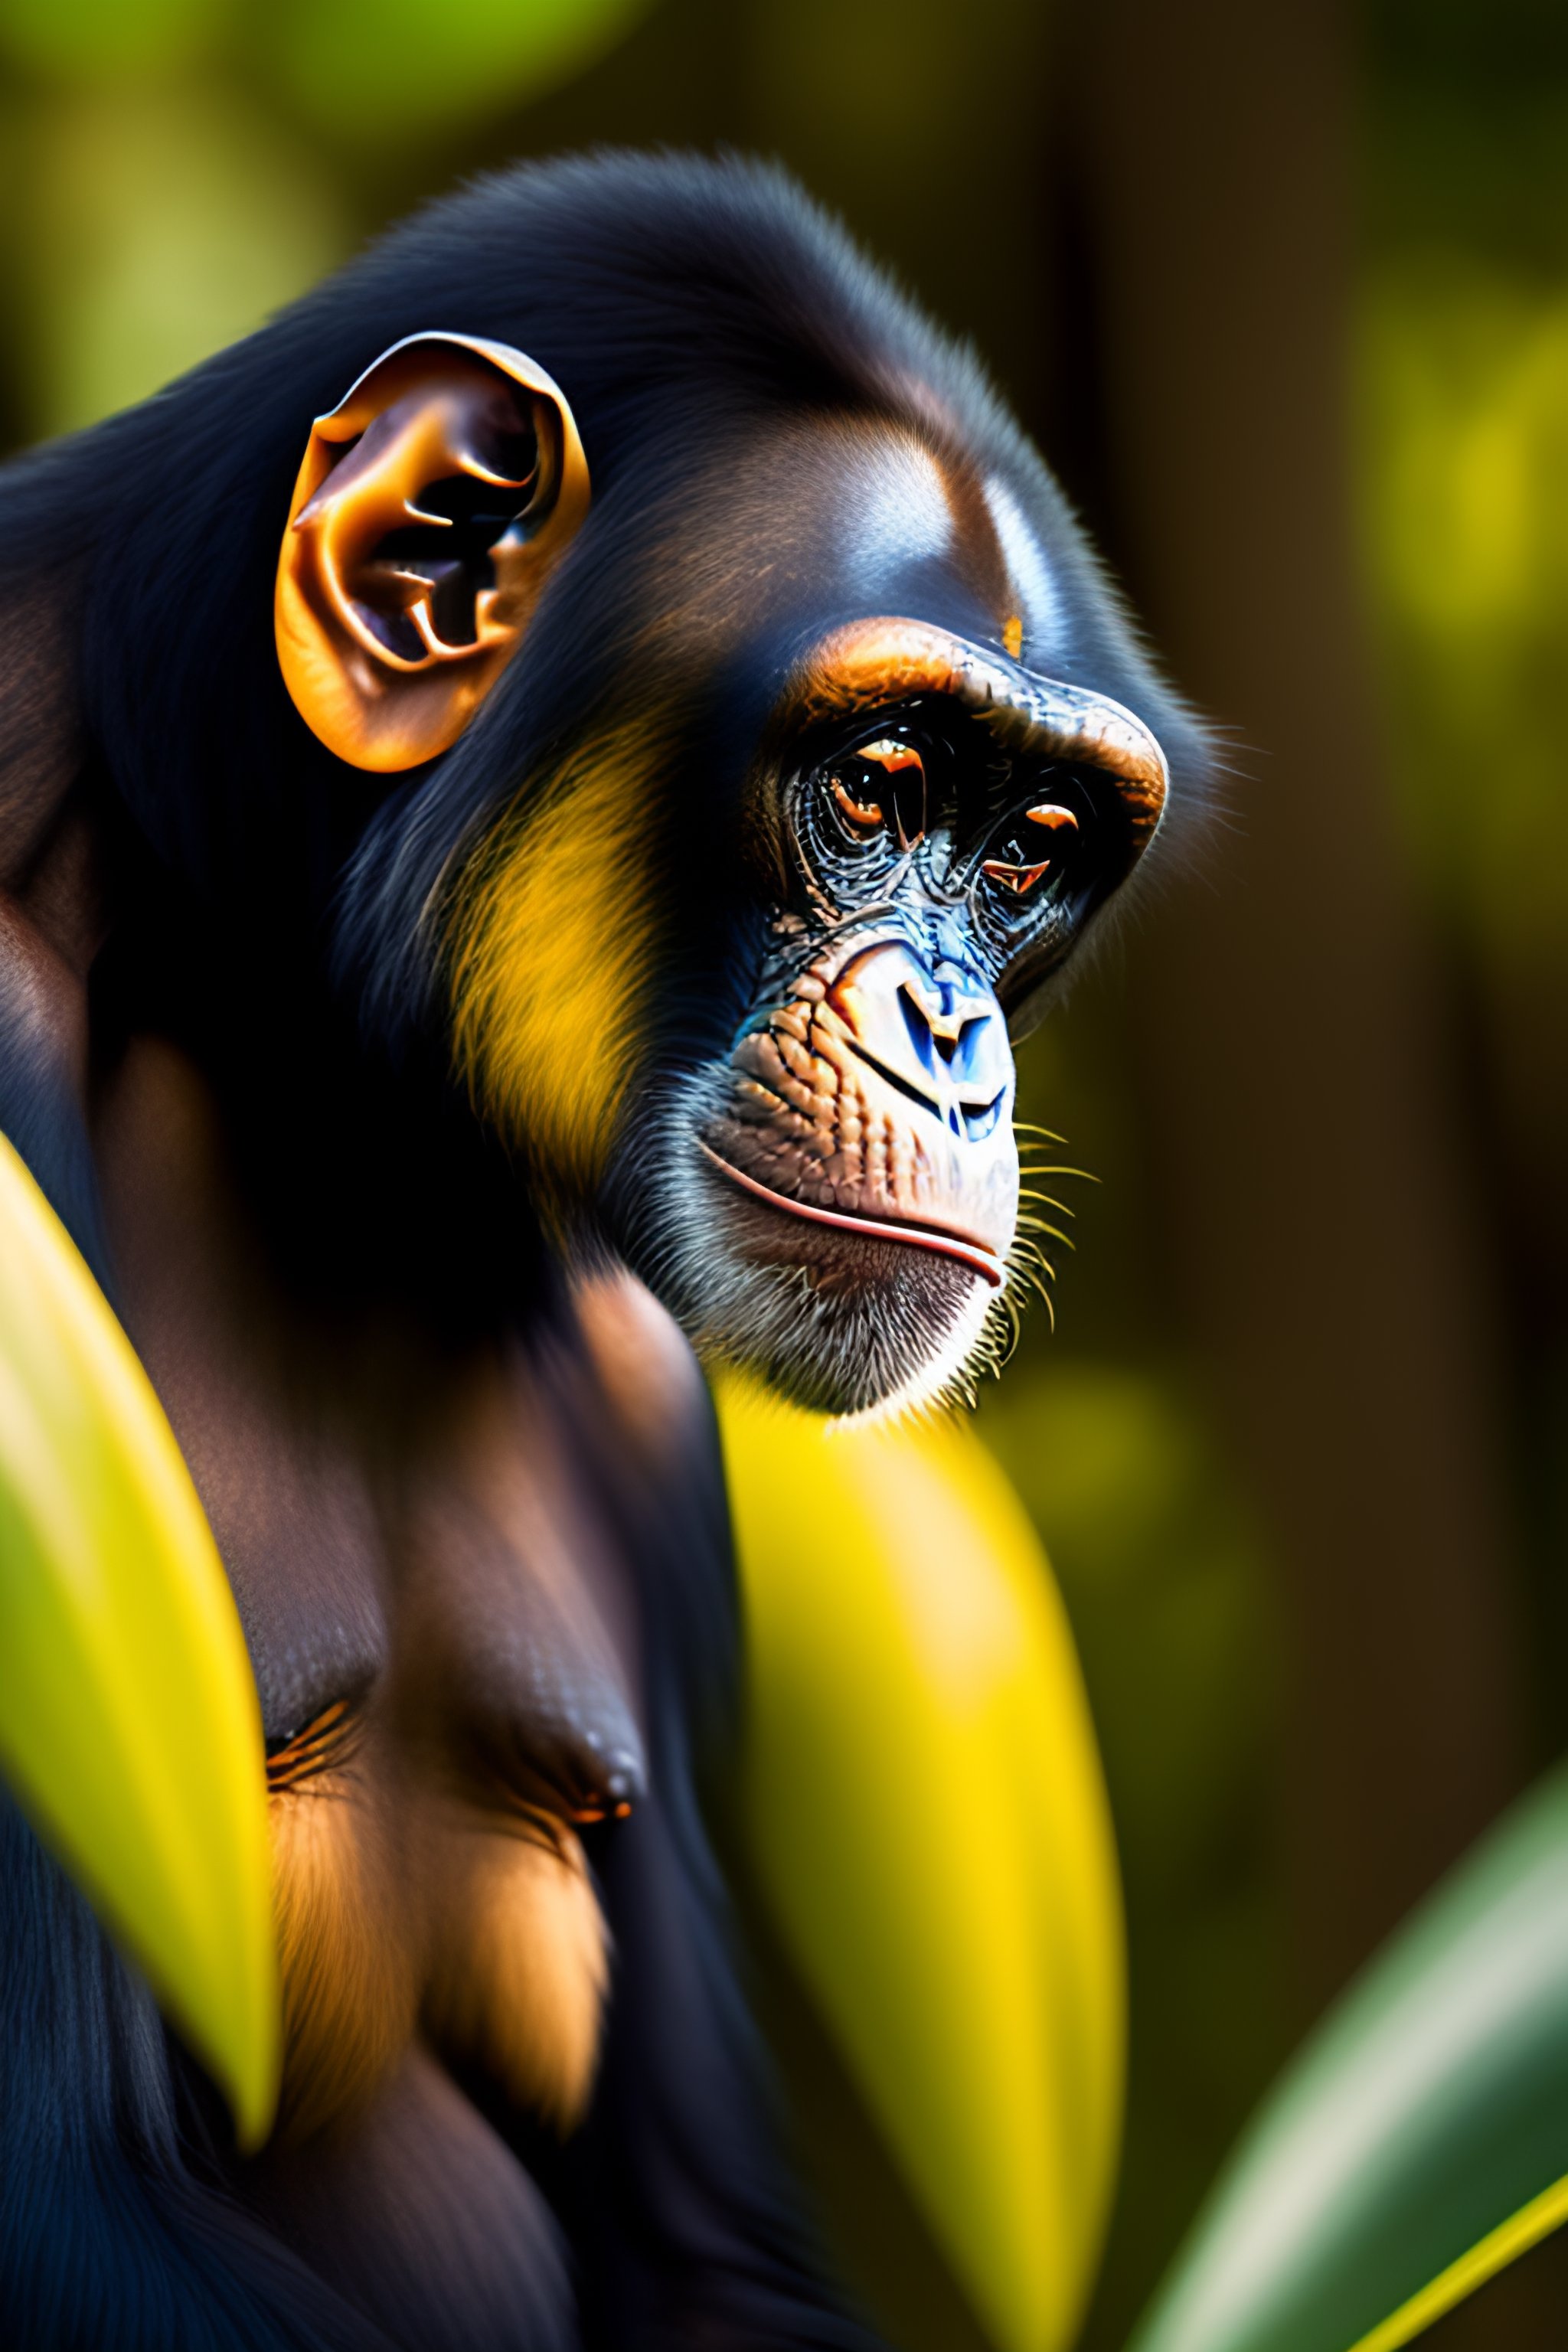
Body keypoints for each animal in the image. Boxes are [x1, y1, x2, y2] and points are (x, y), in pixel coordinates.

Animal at [0, 152, 1200, 2351]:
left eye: (1027, 848)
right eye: (879, 784)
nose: (953, 1040)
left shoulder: (652, 1398)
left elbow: (693, 2223)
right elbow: (58, 2174)